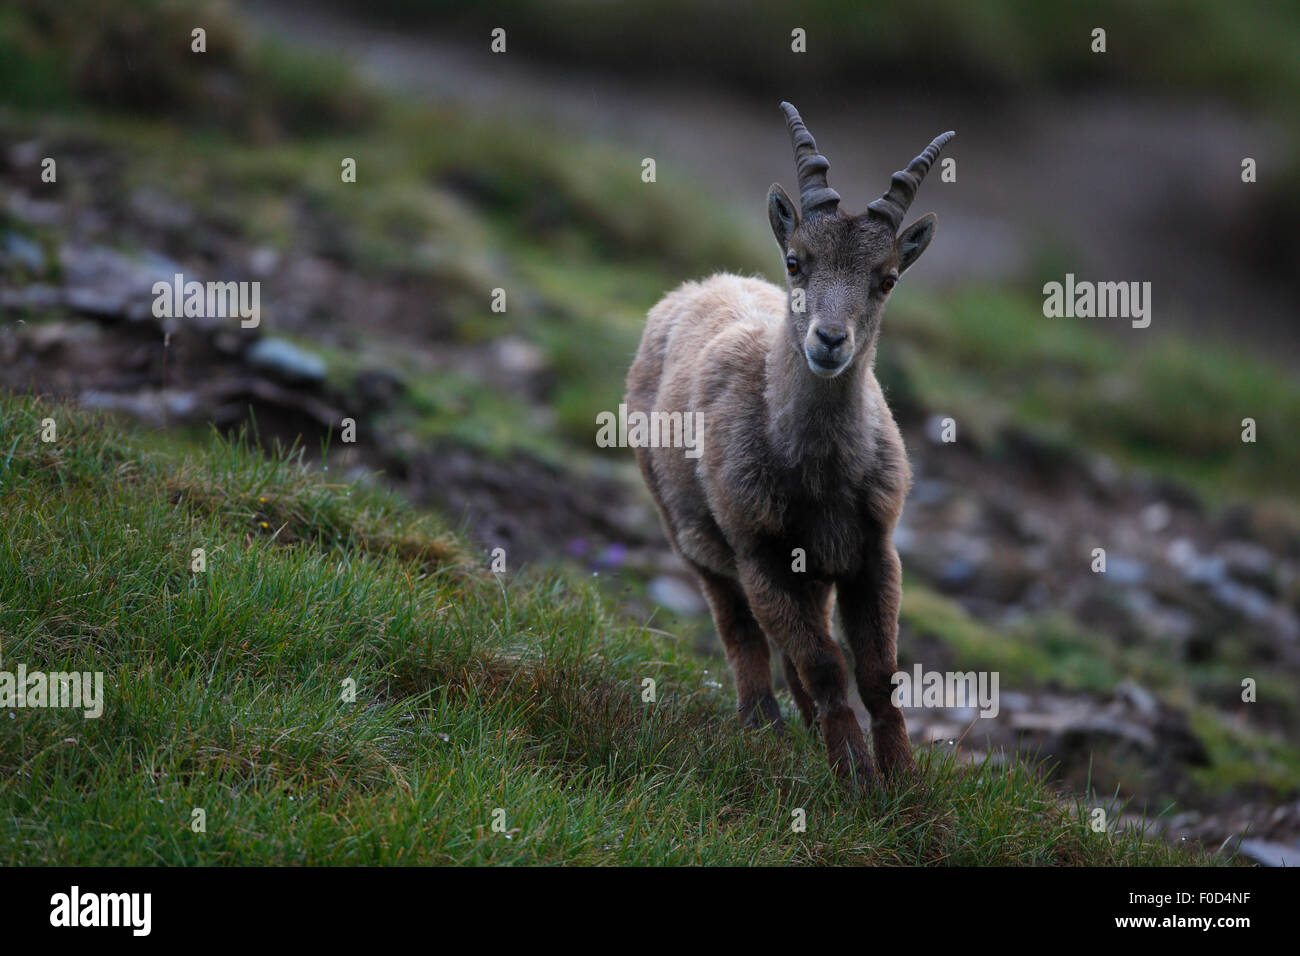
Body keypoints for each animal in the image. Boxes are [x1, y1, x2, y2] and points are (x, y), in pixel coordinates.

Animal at [626, 102, 953, 787]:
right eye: (797, 261)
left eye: (887, 279)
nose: (829, 340)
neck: (820, 473)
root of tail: (698, 286)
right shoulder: (762, 553)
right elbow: (827, 666)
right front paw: (855, 778)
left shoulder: (873, 551)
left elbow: (878, 675)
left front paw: (902, 782)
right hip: (697, 540)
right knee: (743, 630)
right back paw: (763, 726)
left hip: (815, 573)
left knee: (795, 641)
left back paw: (802, 727)